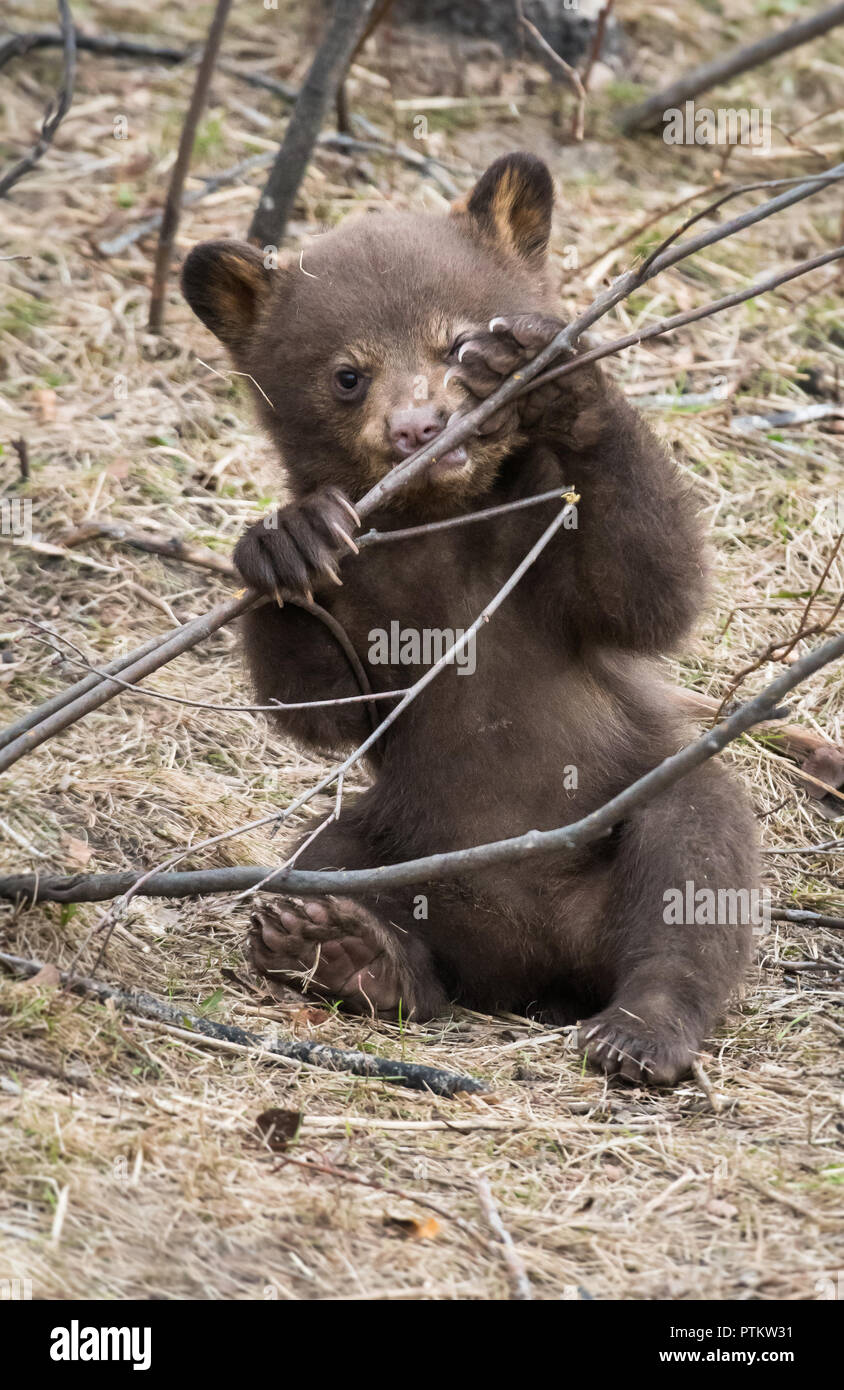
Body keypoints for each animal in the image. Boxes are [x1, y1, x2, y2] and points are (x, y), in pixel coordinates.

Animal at [181, 152, 759, 1086]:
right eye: (348, 374)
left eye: (457, 342)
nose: (421, 426)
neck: (440, 526)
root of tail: (538, 966)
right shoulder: (373, 581)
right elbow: (325, 704)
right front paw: (284, 543)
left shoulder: (540, 543)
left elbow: (650, 591)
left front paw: (564, 379)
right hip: (401, 832)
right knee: (329, 861)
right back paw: (351, 952)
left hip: (629, 799)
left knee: (692, 859)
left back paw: (640, 1031)